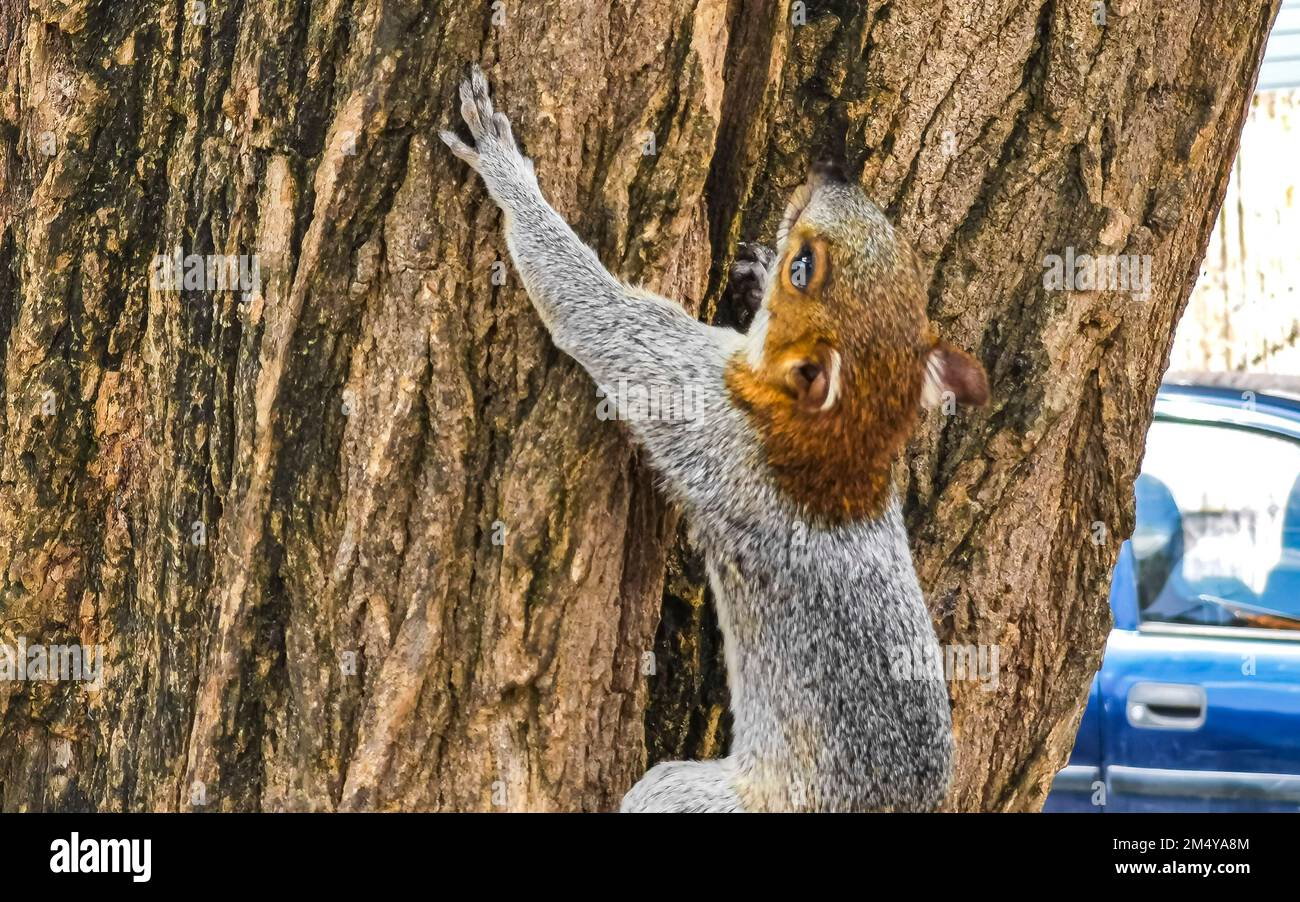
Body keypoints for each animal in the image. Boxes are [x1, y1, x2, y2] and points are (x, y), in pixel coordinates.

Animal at [441, 66, 989, 812]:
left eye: (803, 270)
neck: (843, 436)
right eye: (904, 263)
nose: (832, 168)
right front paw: (750, 275)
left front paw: (506, 173)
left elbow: (593, 313)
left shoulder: (698, 398)